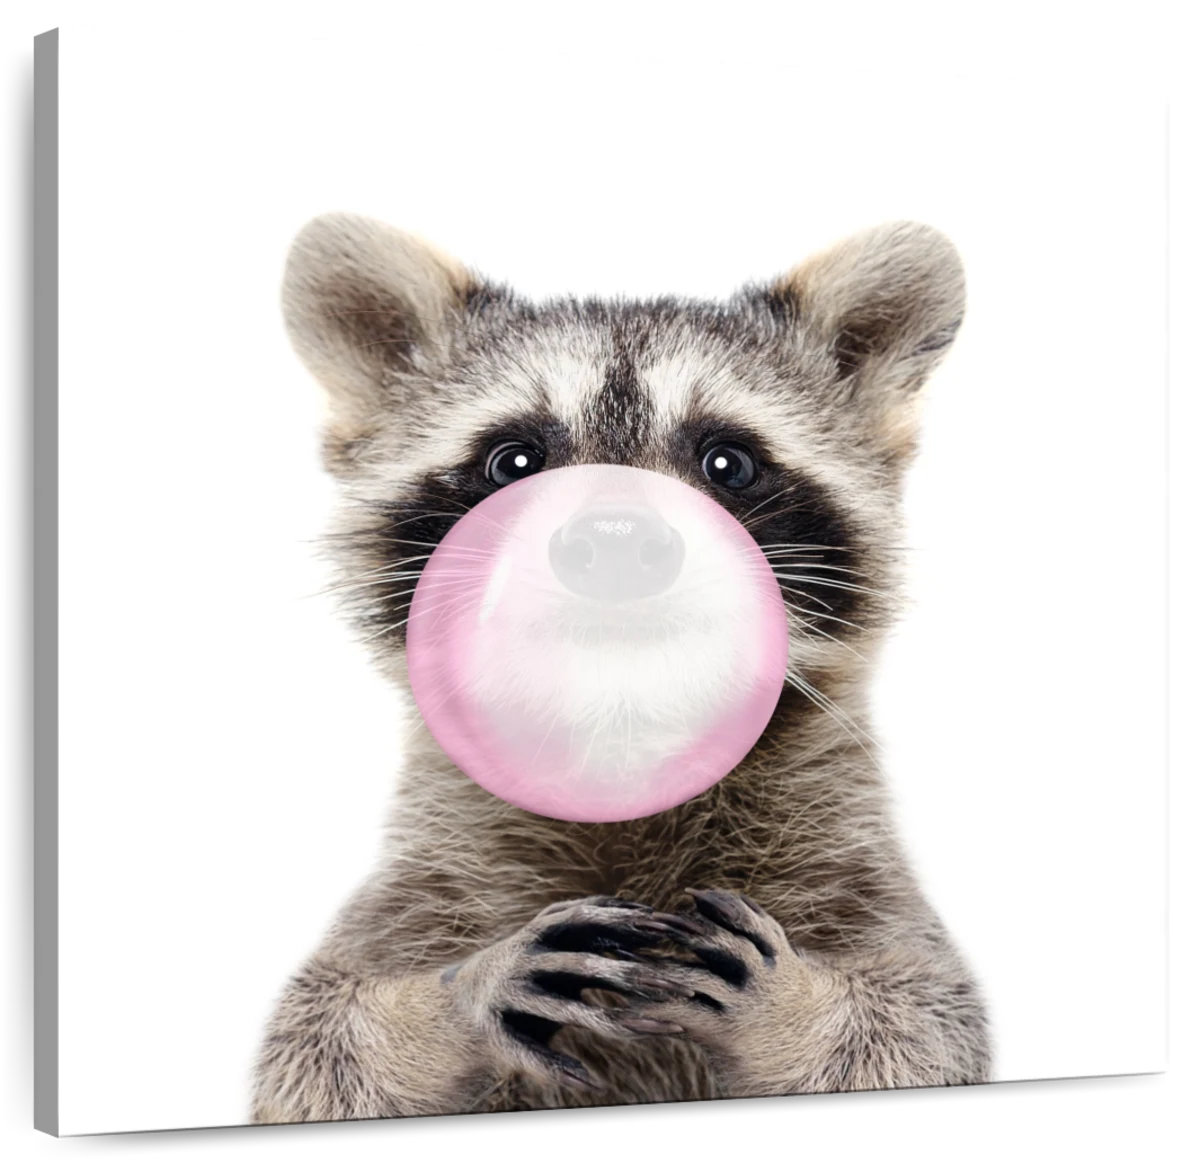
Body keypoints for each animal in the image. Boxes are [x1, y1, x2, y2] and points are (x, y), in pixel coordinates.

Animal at [251, 213, 991, 1123]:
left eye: (727, 462)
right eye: (513, 461)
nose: (614, 542)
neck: (621, 740)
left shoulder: (858, 876)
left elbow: (927, 1025)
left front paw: (794, 1012)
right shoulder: (423, 883)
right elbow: (313, 1045)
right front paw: (446, 1003)